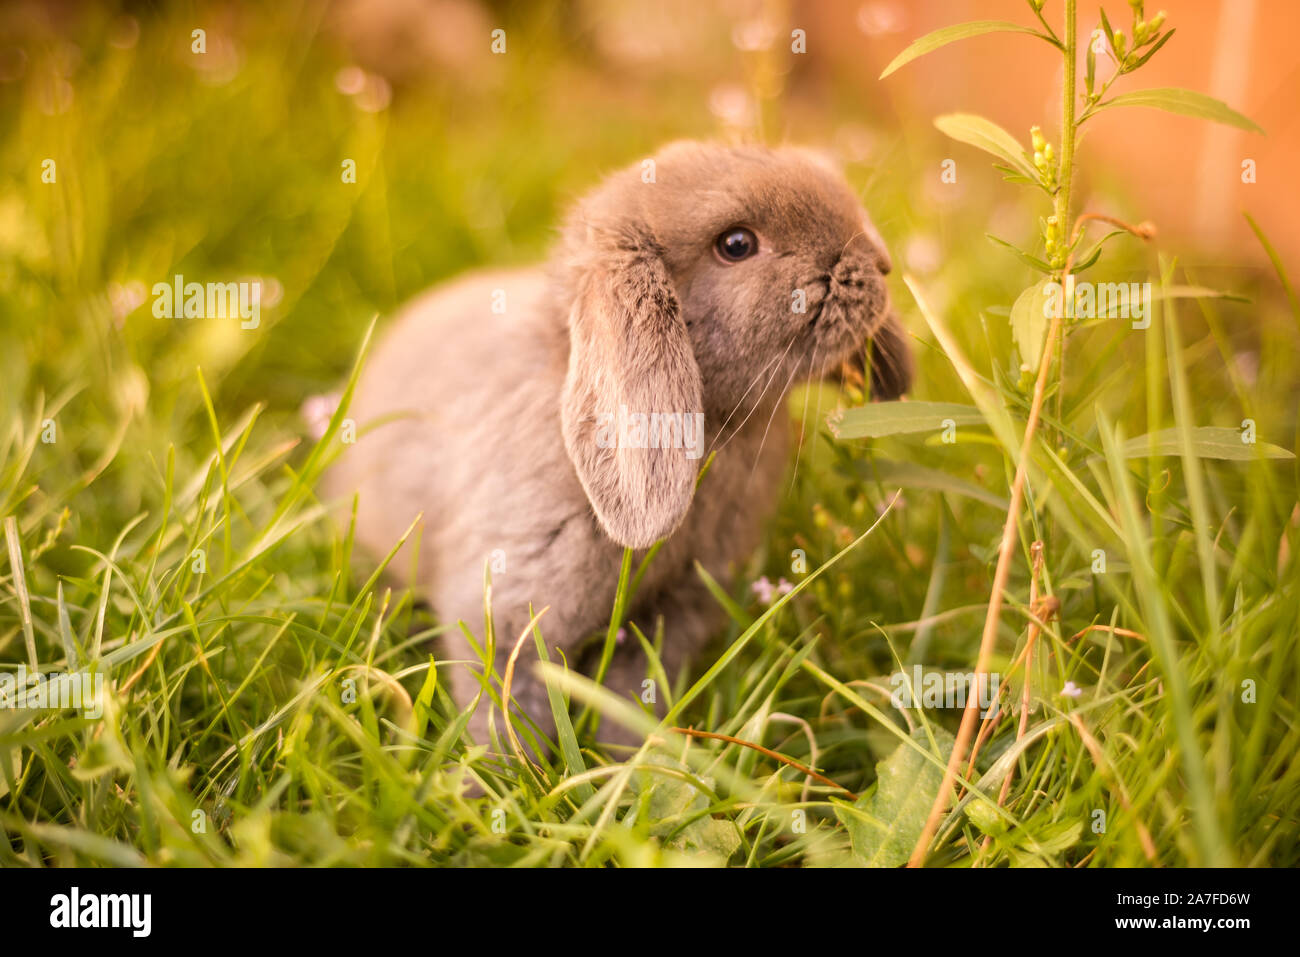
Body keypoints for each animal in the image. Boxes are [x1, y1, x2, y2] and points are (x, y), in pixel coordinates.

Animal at [323, 141, 912, 755]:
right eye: (736, 244)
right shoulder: (508, 610)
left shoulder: (676, 614)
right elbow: (505, 704)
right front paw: (502, 776)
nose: (880, 262)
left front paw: (637, 759)